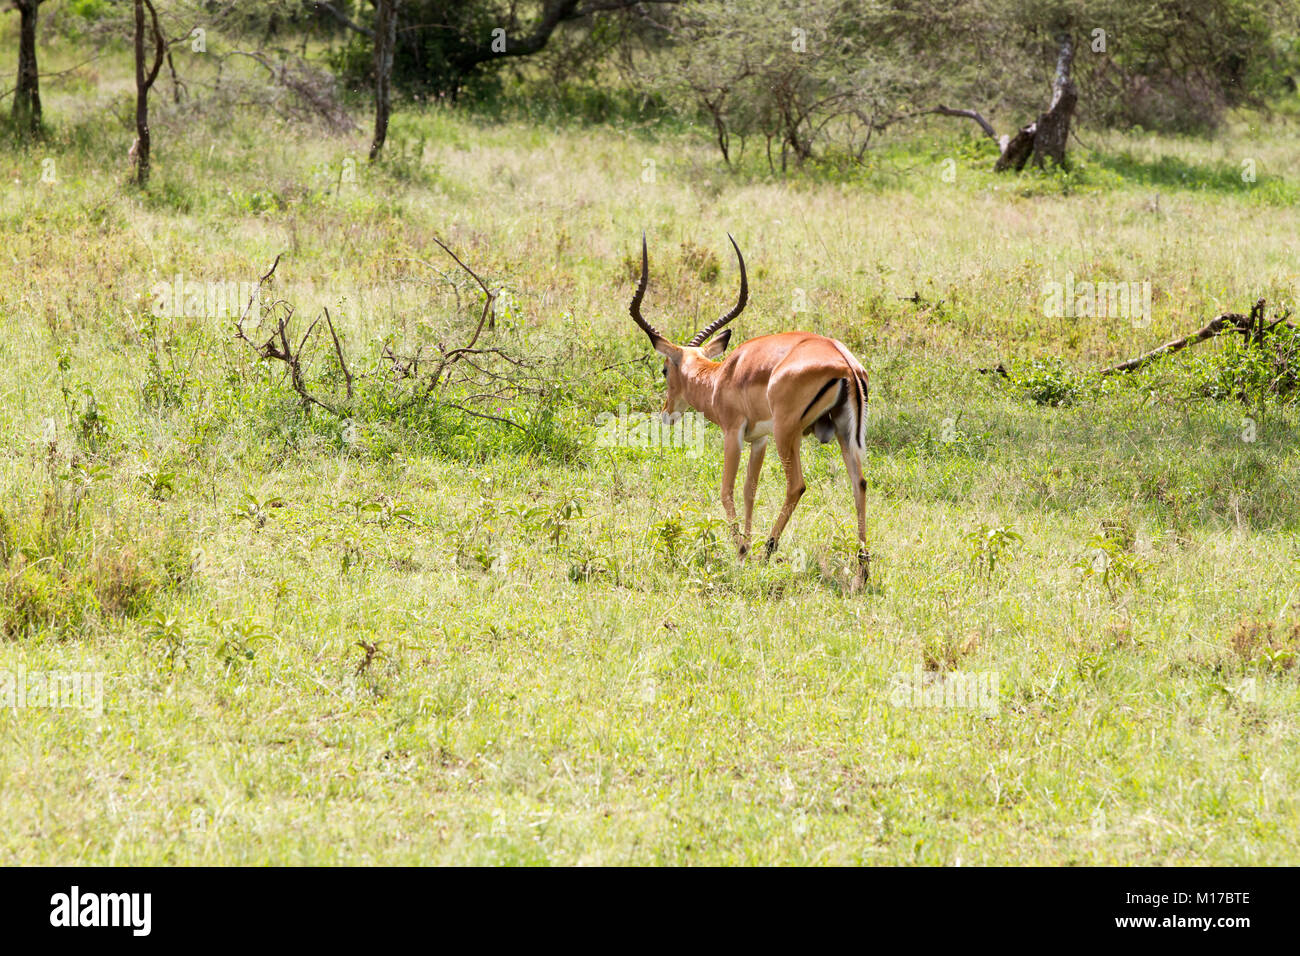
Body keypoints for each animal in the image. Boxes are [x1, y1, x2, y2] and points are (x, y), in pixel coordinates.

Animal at [628, 233, 871, 585]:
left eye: (663, 370)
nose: (666, 413)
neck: (720, 377)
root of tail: (845, 363)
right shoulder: (759, 439)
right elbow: (749, 489)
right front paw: (745, 544)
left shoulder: (734, 434)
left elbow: (727, 488)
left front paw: (741, 550)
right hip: (843, 434)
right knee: (859, 484)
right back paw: (862, 570)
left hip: (788, 434)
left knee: (796, 485)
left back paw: (768, 551)